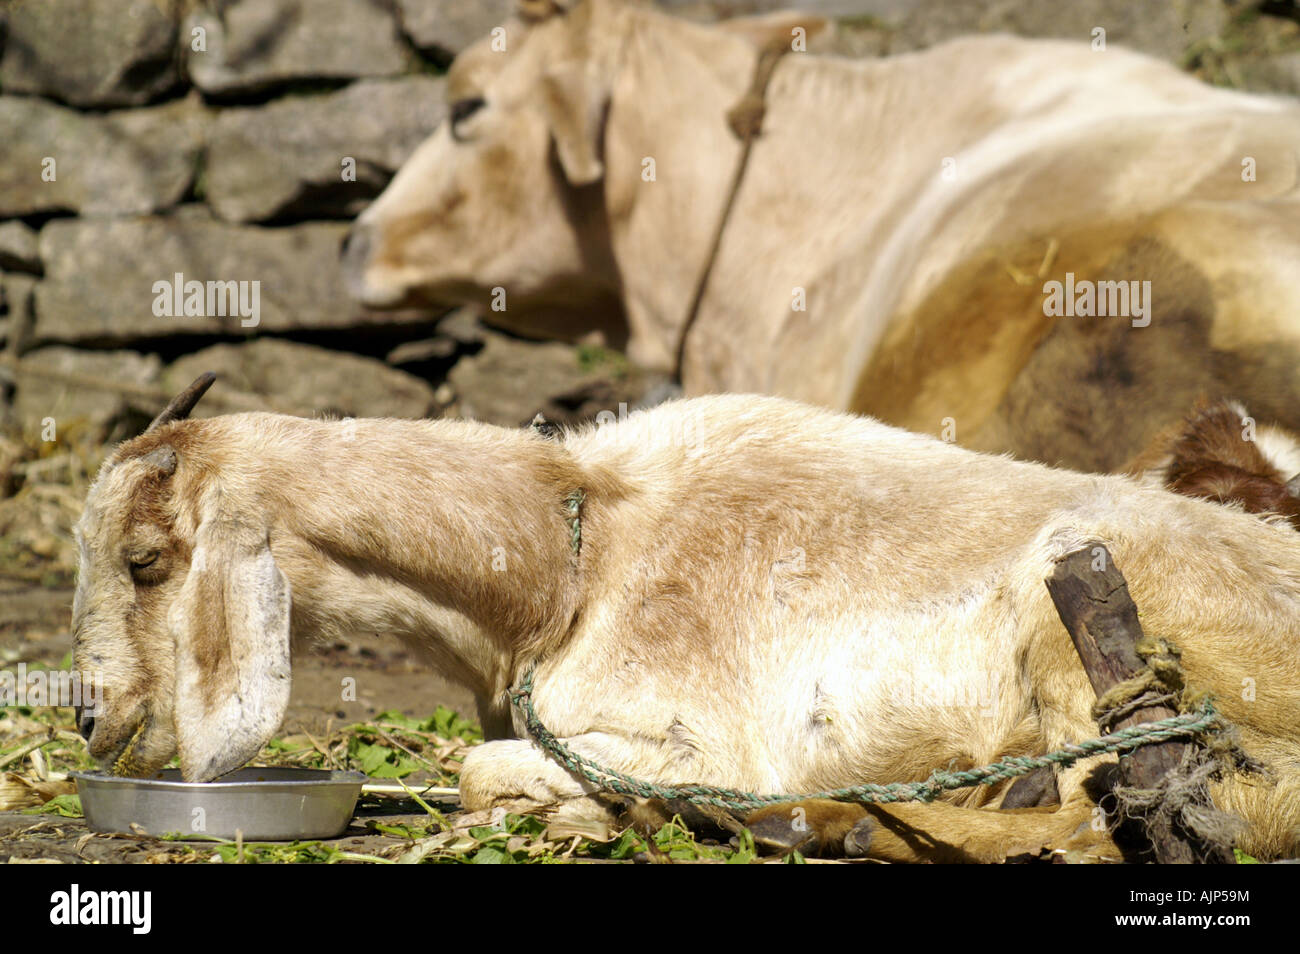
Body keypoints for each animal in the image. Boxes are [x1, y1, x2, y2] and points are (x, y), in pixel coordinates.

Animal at [73, 376, 1300, 861]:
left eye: (145, 561)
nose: (89, 718)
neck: (572, 557)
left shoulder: (694, 732)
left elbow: (480, 772)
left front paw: (598, 810)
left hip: (1091, 633)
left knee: (1121, 818)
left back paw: (844, 822)